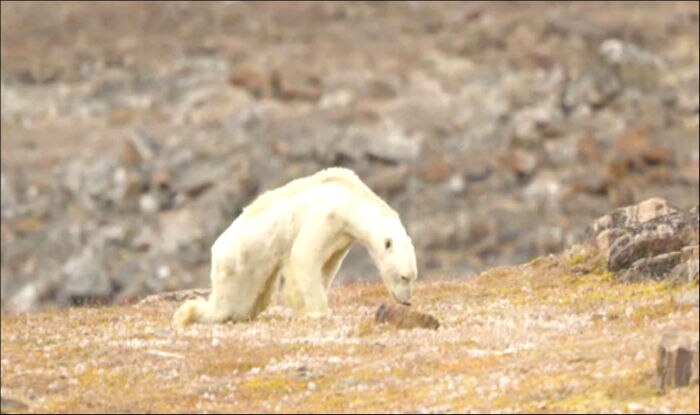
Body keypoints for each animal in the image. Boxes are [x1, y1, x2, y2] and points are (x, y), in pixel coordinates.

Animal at [172, 167, 418, 326]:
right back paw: (188, 314)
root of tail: (216, 250)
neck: (349, 199)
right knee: (227, 305)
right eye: (404, 276)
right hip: (240, 264)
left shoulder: (341, 237)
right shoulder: (325, 216)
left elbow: (327, 266)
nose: (407, 301)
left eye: (413, 277)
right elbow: (304, 255)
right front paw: (318, 311)